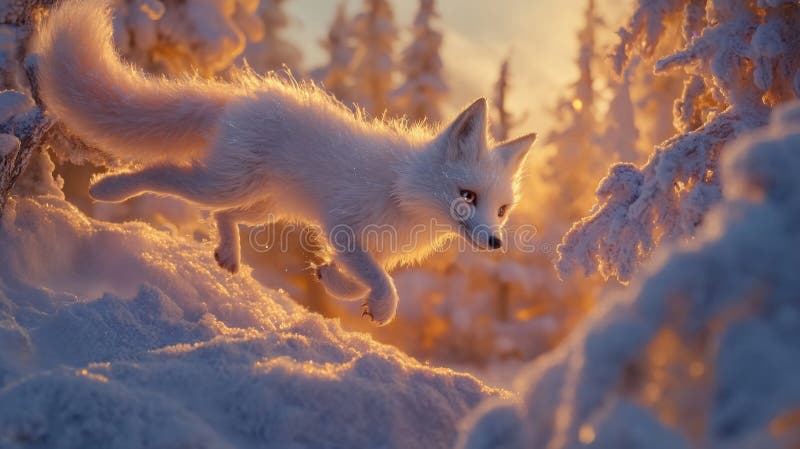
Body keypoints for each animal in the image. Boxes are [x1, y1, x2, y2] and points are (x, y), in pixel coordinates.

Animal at [34, 0, 536, 325]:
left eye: (501, 209)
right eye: (467, 195)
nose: (495, 242)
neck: (401, 190)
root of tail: (241, 98)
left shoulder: (358, 243)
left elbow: (360, 279)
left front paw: (333, 281)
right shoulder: (344, 229)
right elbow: (383, 283)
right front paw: (380, 305)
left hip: (265, 206)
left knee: (223, 216)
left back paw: (228, 254)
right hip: (223, 185)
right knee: (166, 176)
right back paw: (108, 189)